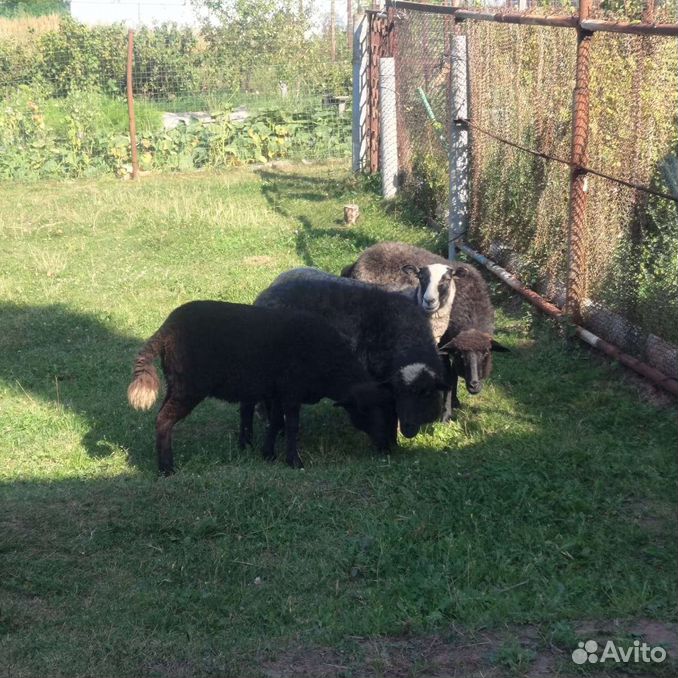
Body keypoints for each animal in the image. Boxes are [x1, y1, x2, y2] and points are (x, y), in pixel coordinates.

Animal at [127, 300, 397, 473]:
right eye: (368, 411)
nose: (389, 449)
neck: (331, 365)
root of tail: (164, 331)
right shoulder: (291, 391)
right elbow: (292, 426)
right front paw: (294, 462)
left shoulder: (277, 392)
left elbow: (275, 422)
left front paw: (268, 454)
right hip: (188, 386)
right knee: (163, 420)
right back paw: (166, 469)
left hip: (175, 383)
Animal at [342, 242, 508, 419]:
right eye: (461, 356)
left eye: (486, 353)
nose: (474, 386)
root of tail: (359, 260)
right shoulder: (443, 346)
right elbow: (449, 377)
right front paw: (446, 414)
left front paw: (455, 402)